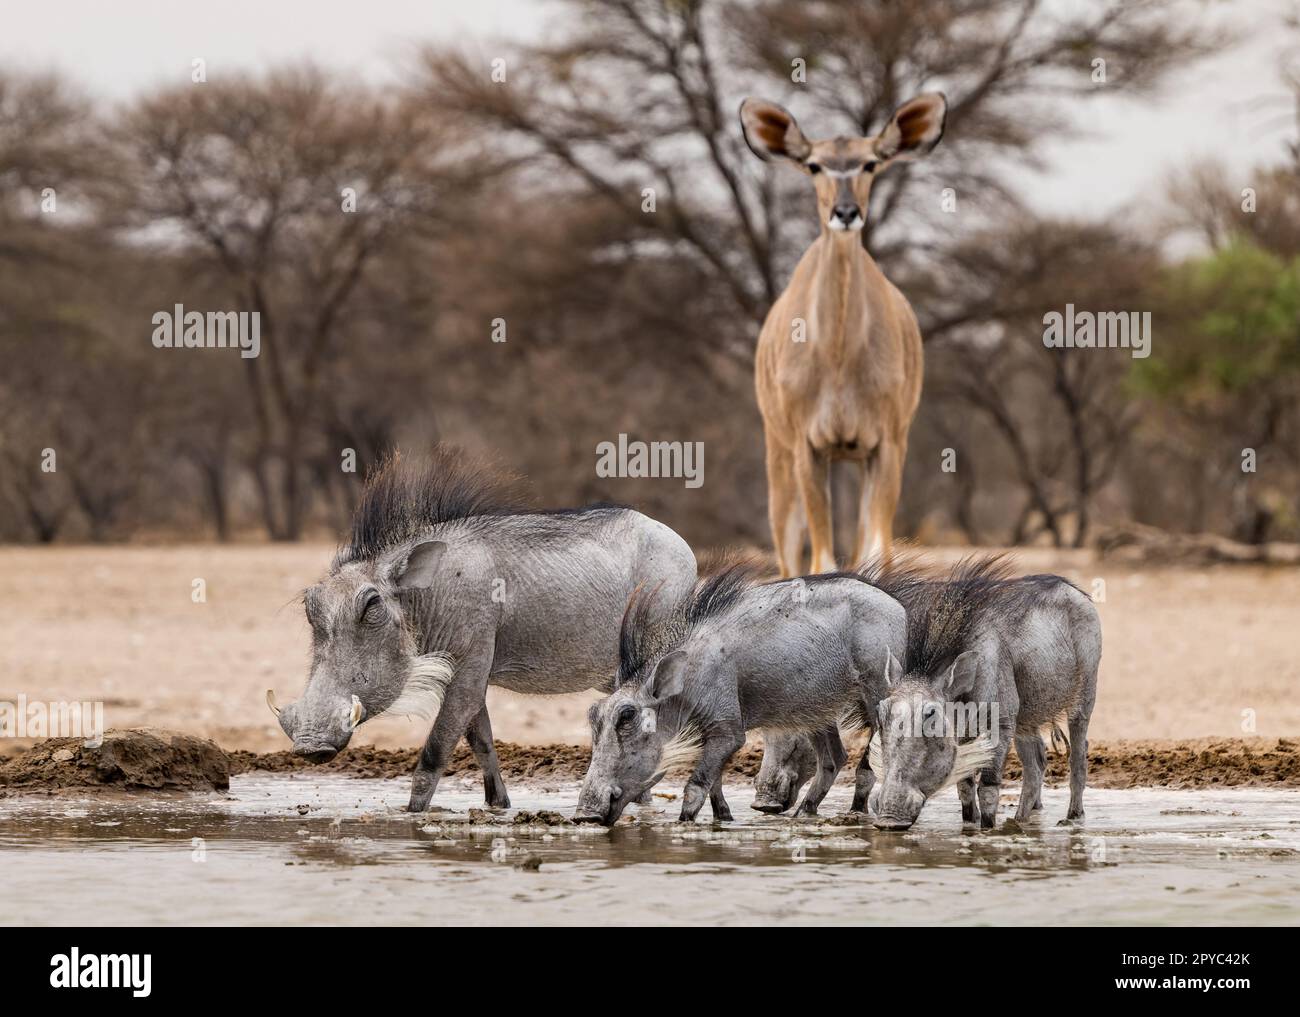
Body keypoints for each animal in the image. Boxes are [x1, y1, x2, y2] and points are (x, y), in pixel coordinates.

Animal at [739, 93, 946, 575]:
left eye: (870, 163)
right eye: (815, 165)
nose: (846, 213)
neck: (837, 357)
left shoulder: (887, 444)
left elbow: (875, 556)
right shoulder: (808, 446)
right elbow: (821, 560)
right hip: (779, 456)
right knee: (788, 555)